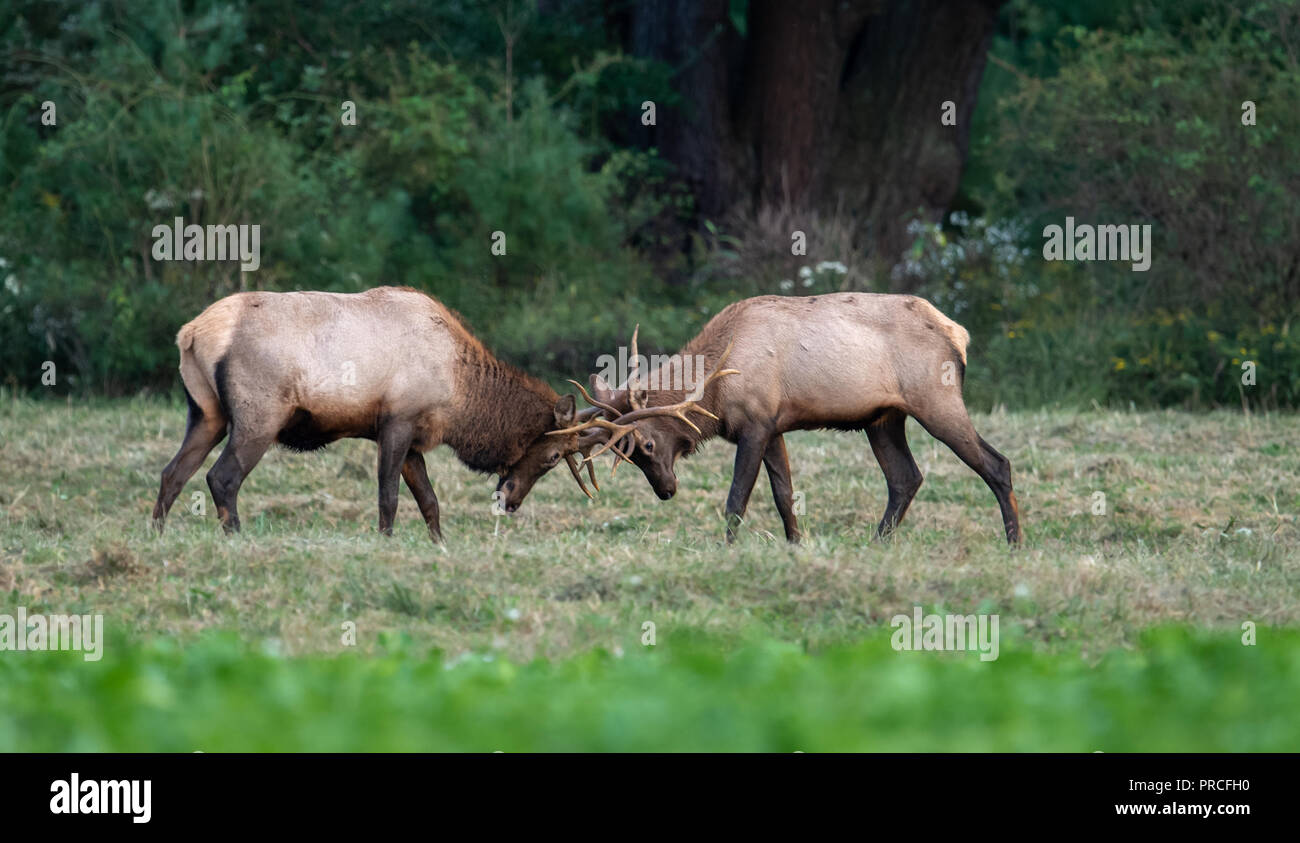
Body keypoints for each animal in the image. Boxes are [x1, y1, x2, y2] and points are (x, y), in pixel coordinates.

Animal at [150, 286, 597, 542]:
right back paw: (236, 539)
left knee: (172, 472)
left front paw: (440, 545)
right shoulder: (396, 421)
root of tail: (191, 333)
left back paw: (156, 534)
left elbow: (430, 501)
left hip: (205, 414)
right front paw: (387, 542)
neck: (459, 393)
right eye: (553, 456)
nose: (510, 502)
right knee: (221, 477)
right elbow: (389, 497)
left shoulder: (414, 436)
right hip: (259, 415)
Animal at [499, 293, 1021, 545]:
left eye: (645, 446)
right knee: (905, 478)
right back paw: (877, 545)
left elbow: (737, 500)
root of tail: (958, 334)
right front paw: (796, 546)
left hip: (936, 399)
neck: (714, 388)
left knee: (996, 463)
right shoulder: (774, 427)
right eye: (627, 456)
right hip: (883, 418)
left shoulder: (755, 423)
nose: (667, 490)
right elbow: (785, 496)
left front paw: (727, 548)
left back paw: (1015, 543)